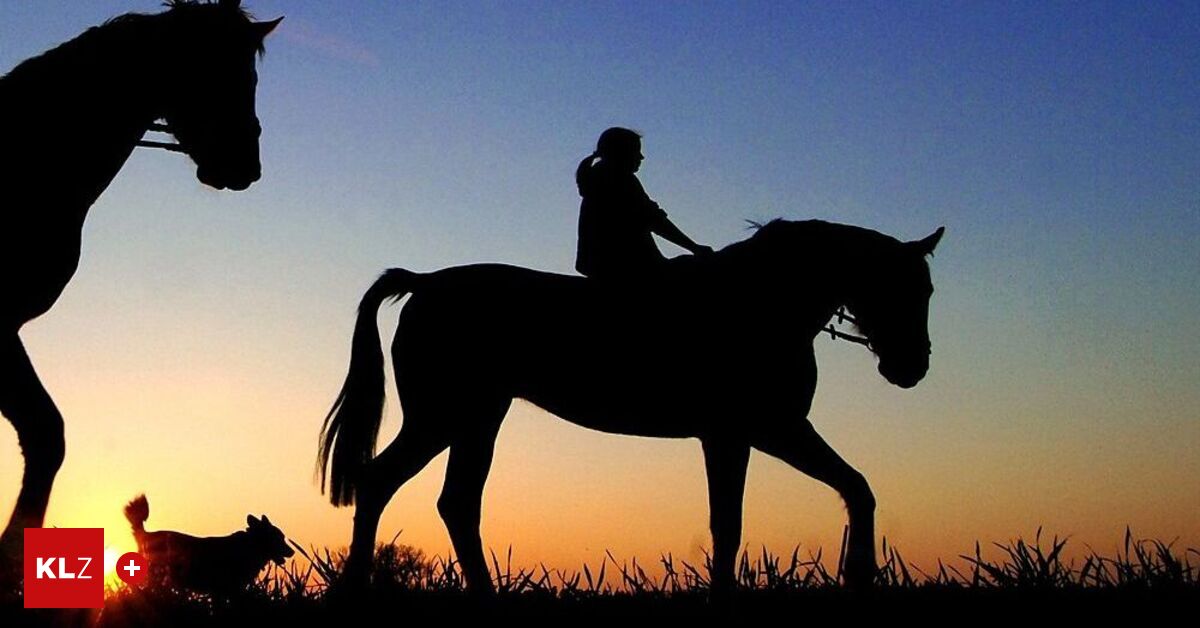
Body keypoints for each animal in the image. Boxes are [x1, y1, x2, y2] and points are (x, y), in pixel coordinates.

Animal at [318, 219, 944, 594]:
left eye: (928, 290)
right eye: (897, 286)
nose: (911, 367)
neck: (760, 303)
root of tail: (424, 283)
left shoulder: (761, 432)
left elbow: (852, 489)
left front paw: (859, 577)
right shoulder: (757, 430)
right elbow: (731, 522)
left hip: (478, 419)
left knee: (455, 502)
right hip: (444, 417)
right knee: (382, 483)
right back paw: (356, 591)